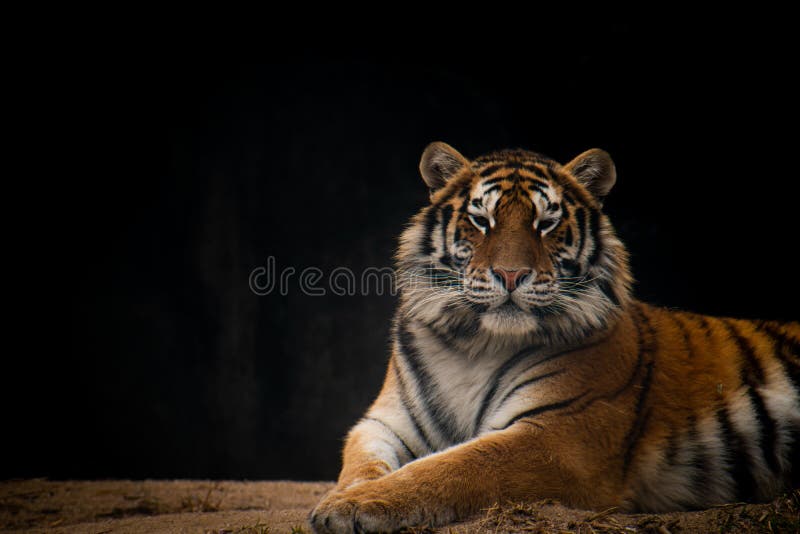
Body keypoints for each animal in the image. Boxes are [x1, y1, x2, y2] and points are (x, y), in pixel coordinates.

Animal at [309, 142, 800, 533]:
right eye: (481, 220)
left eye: (546, 223)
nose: (510, 274)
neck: (476, 345)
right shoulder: (384, 422)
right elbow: (363, 463)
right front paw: (347, 495)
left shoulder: (559, 436)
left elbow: (450, 467)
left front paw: (353, 506)